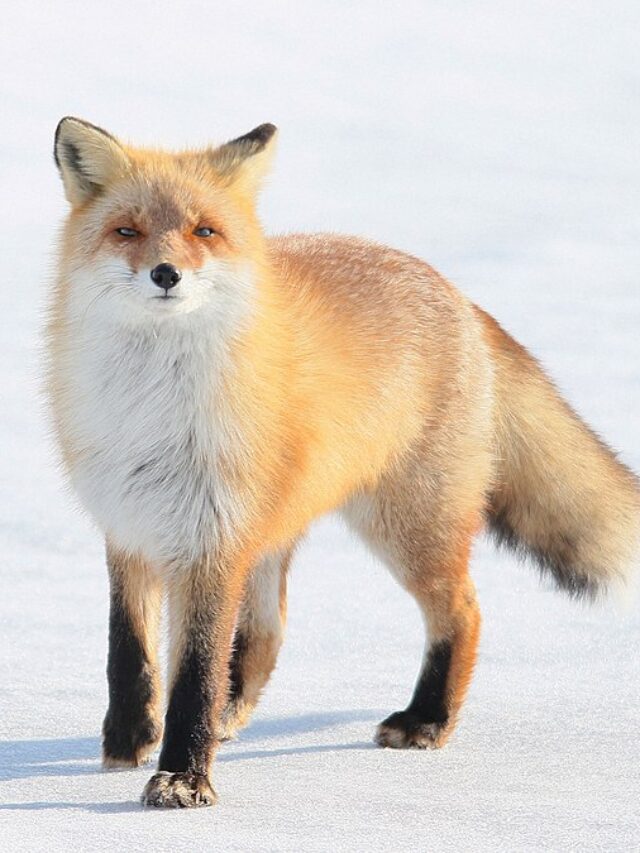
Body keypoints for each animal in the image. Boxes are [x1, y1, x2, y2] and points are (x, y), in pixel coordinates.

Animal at [47, 116, 640, 809]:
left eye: (204, 231)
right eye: (128, 231)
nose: (166, 273)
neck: (150, 410)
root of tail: (458, 294)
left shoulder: (208, 540)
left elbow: (193, 674)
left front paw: (183, 781)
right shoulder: (129, 526)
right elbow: (129, 653)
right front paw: (128, 741)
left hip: (406, 526)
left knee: (465, 610)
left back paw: (427, 720)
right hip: (281, 528)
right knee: (269, 633)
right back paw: (233, 716)